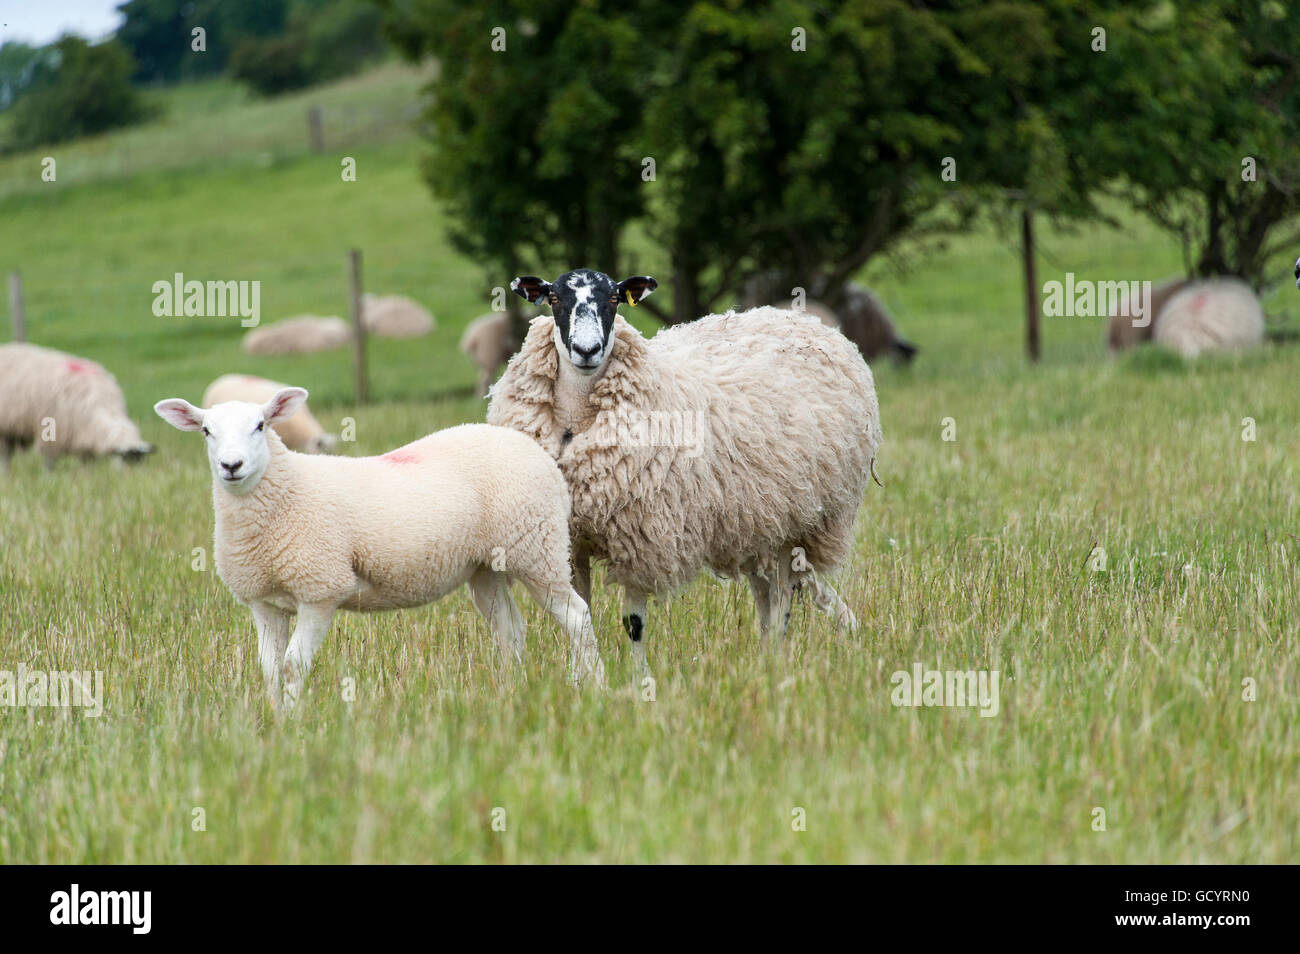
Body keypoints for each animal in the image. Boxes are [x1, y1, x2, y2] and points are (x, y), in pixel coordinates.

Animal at [0, 342, 153, 471]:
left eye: (141, 461)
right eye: (124, 458)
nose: (131, 479)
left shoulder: (84, 437)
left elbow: (88, 465)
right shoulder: (53, 434)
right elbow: (49, 462)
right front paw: (49, 479)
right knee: (5, 455)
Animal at [154, 387, 605, 707]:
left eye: (261, 425)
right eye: (207, 431)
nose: (231, 466)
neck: (286, 492)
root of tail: (535, 450)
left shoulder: (320, 590)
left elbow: (293, 668)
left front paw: (295, 727)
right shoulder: (264, 602)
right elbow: (269, 671)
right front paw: (275, 721)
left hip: (537, 547)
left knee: (577, 617)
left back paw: (589, 684)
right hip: (485, 567)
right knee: (511, 630)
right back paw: (511, 688)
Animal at [488, 268, 882, 677]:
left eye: (613, 299)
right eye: (554, 299)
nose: (587, 350)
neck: (575, 421)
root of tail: (804, 321)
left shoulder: (642, 538)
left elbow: (634, 624)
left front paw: (639, 680)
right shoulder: (569, 539)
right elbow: (579, 612)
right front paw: (578, 677)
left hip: (802, 522)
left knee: (783, 597)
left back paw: (776, 656)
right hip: (759, 522)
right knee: (766, 594)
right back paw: (766, 654)